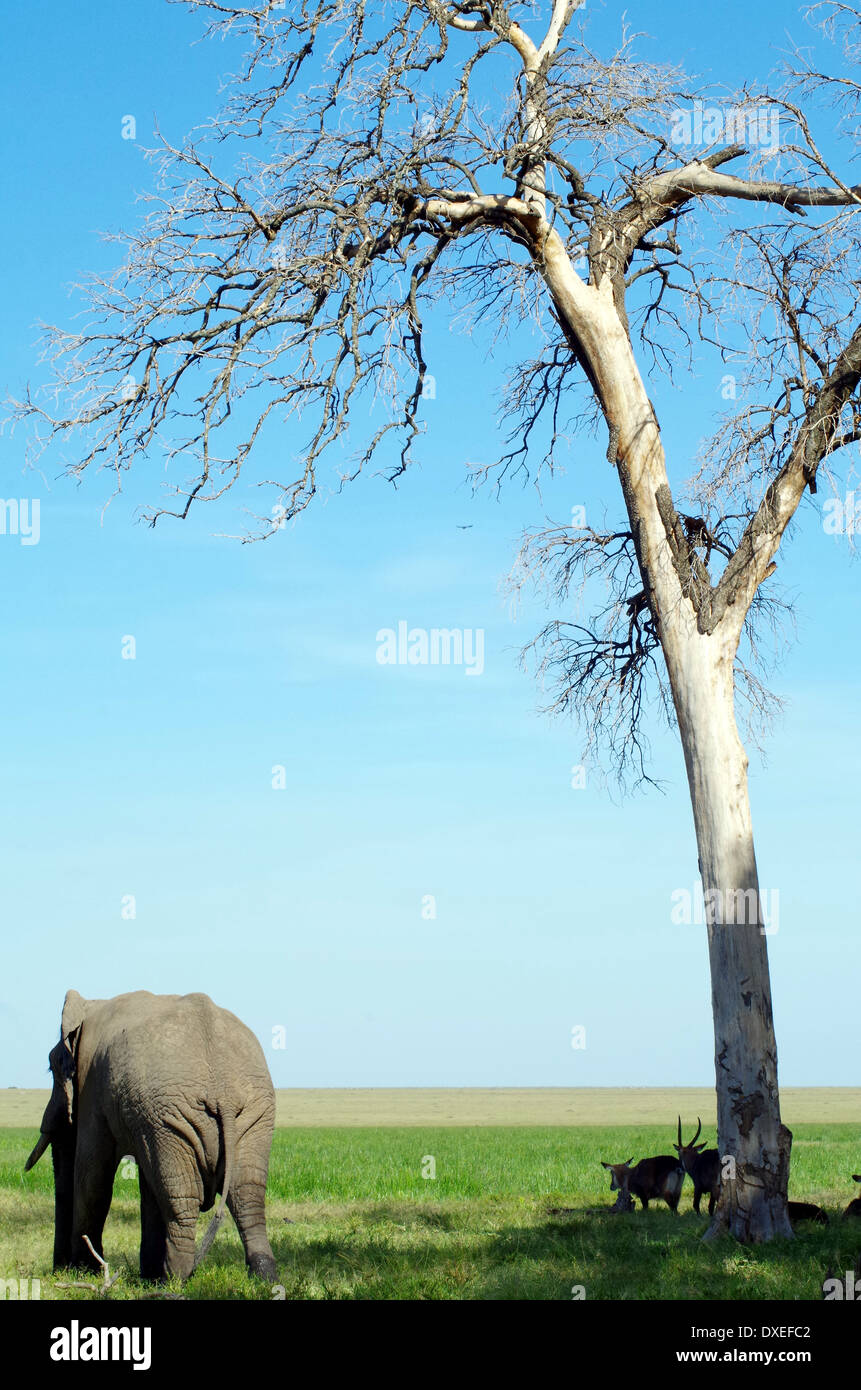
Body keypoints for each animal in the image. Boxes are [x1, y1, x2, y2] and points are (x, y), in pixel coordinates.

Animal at [25, 989, 277, 1282]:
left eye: (51, 1068)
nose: (59, 1270)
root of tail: (224, 1094)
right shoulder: (147, 1118)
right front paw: (143, 1276)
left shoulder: (93, 1089)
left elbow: (93, 1176)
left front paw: (85, 1272)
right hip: (247, 1113)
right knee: (246, 1194)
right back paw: (264, 1276)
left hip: (176, 1114)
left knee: (181, 1197)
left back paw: (175, 1277)